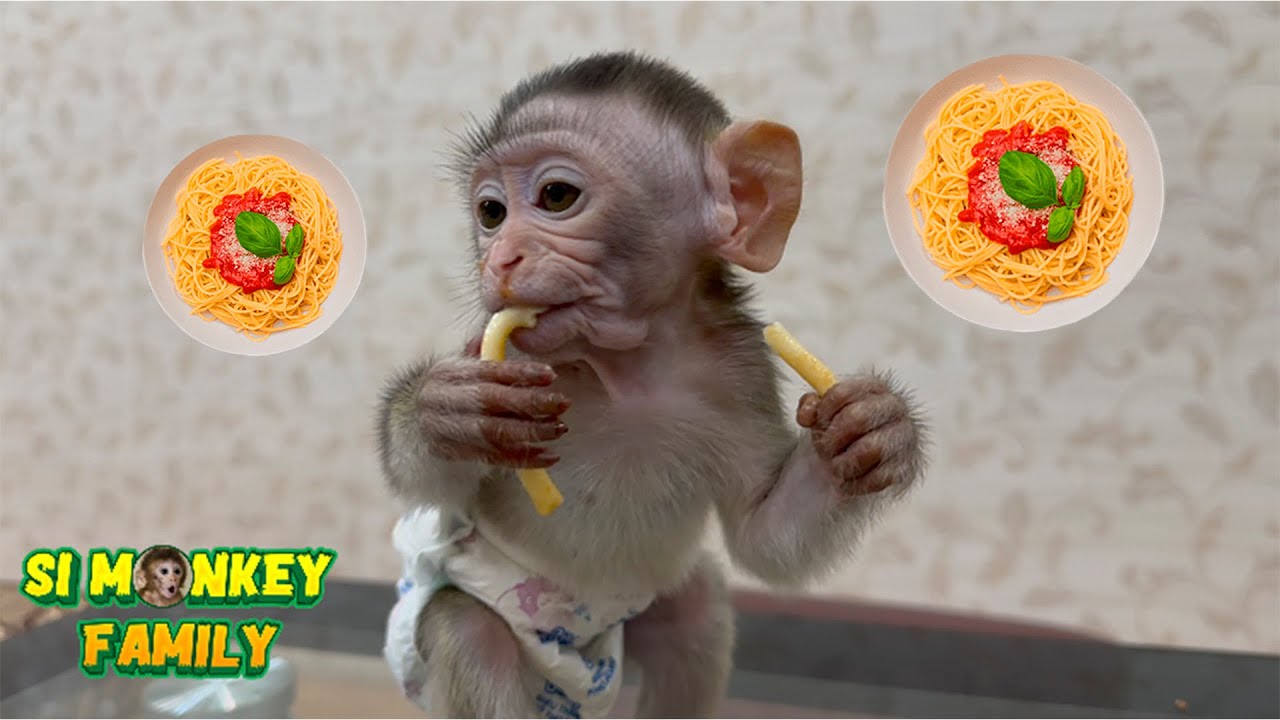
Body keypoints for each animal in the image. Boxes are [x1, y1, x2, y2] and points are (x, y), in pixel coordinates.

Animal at [376, 51, 930, 719]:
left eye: (556, 195)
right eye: (491, 213)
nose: (499, 259)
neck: (628, 367)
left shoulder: (740, 369)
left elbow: (764, 538)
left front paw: (870, 432)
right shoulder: (502, 348)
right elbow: (436, 487)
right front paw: (446, 410)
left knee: (698, 611)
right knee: (468, 630)